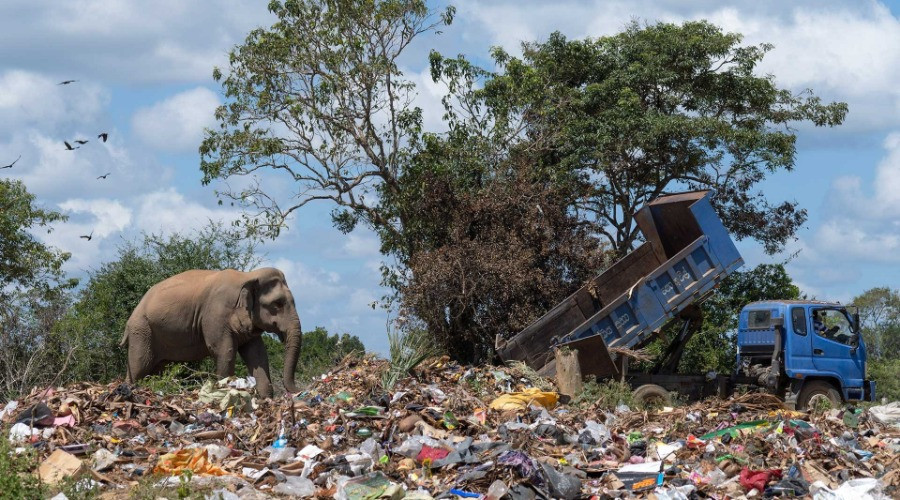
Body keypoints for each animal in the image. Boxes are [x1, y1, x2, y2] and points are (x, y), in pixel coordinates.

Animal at [119, 267, 302, 397]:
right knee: (139, 366)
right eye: (277, 304)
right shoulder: (215, 316)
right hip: (141, 331)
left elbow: (257, 354)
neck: (248, 276)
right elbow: (224, 351)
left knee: (153, 369)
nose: (297, 391)